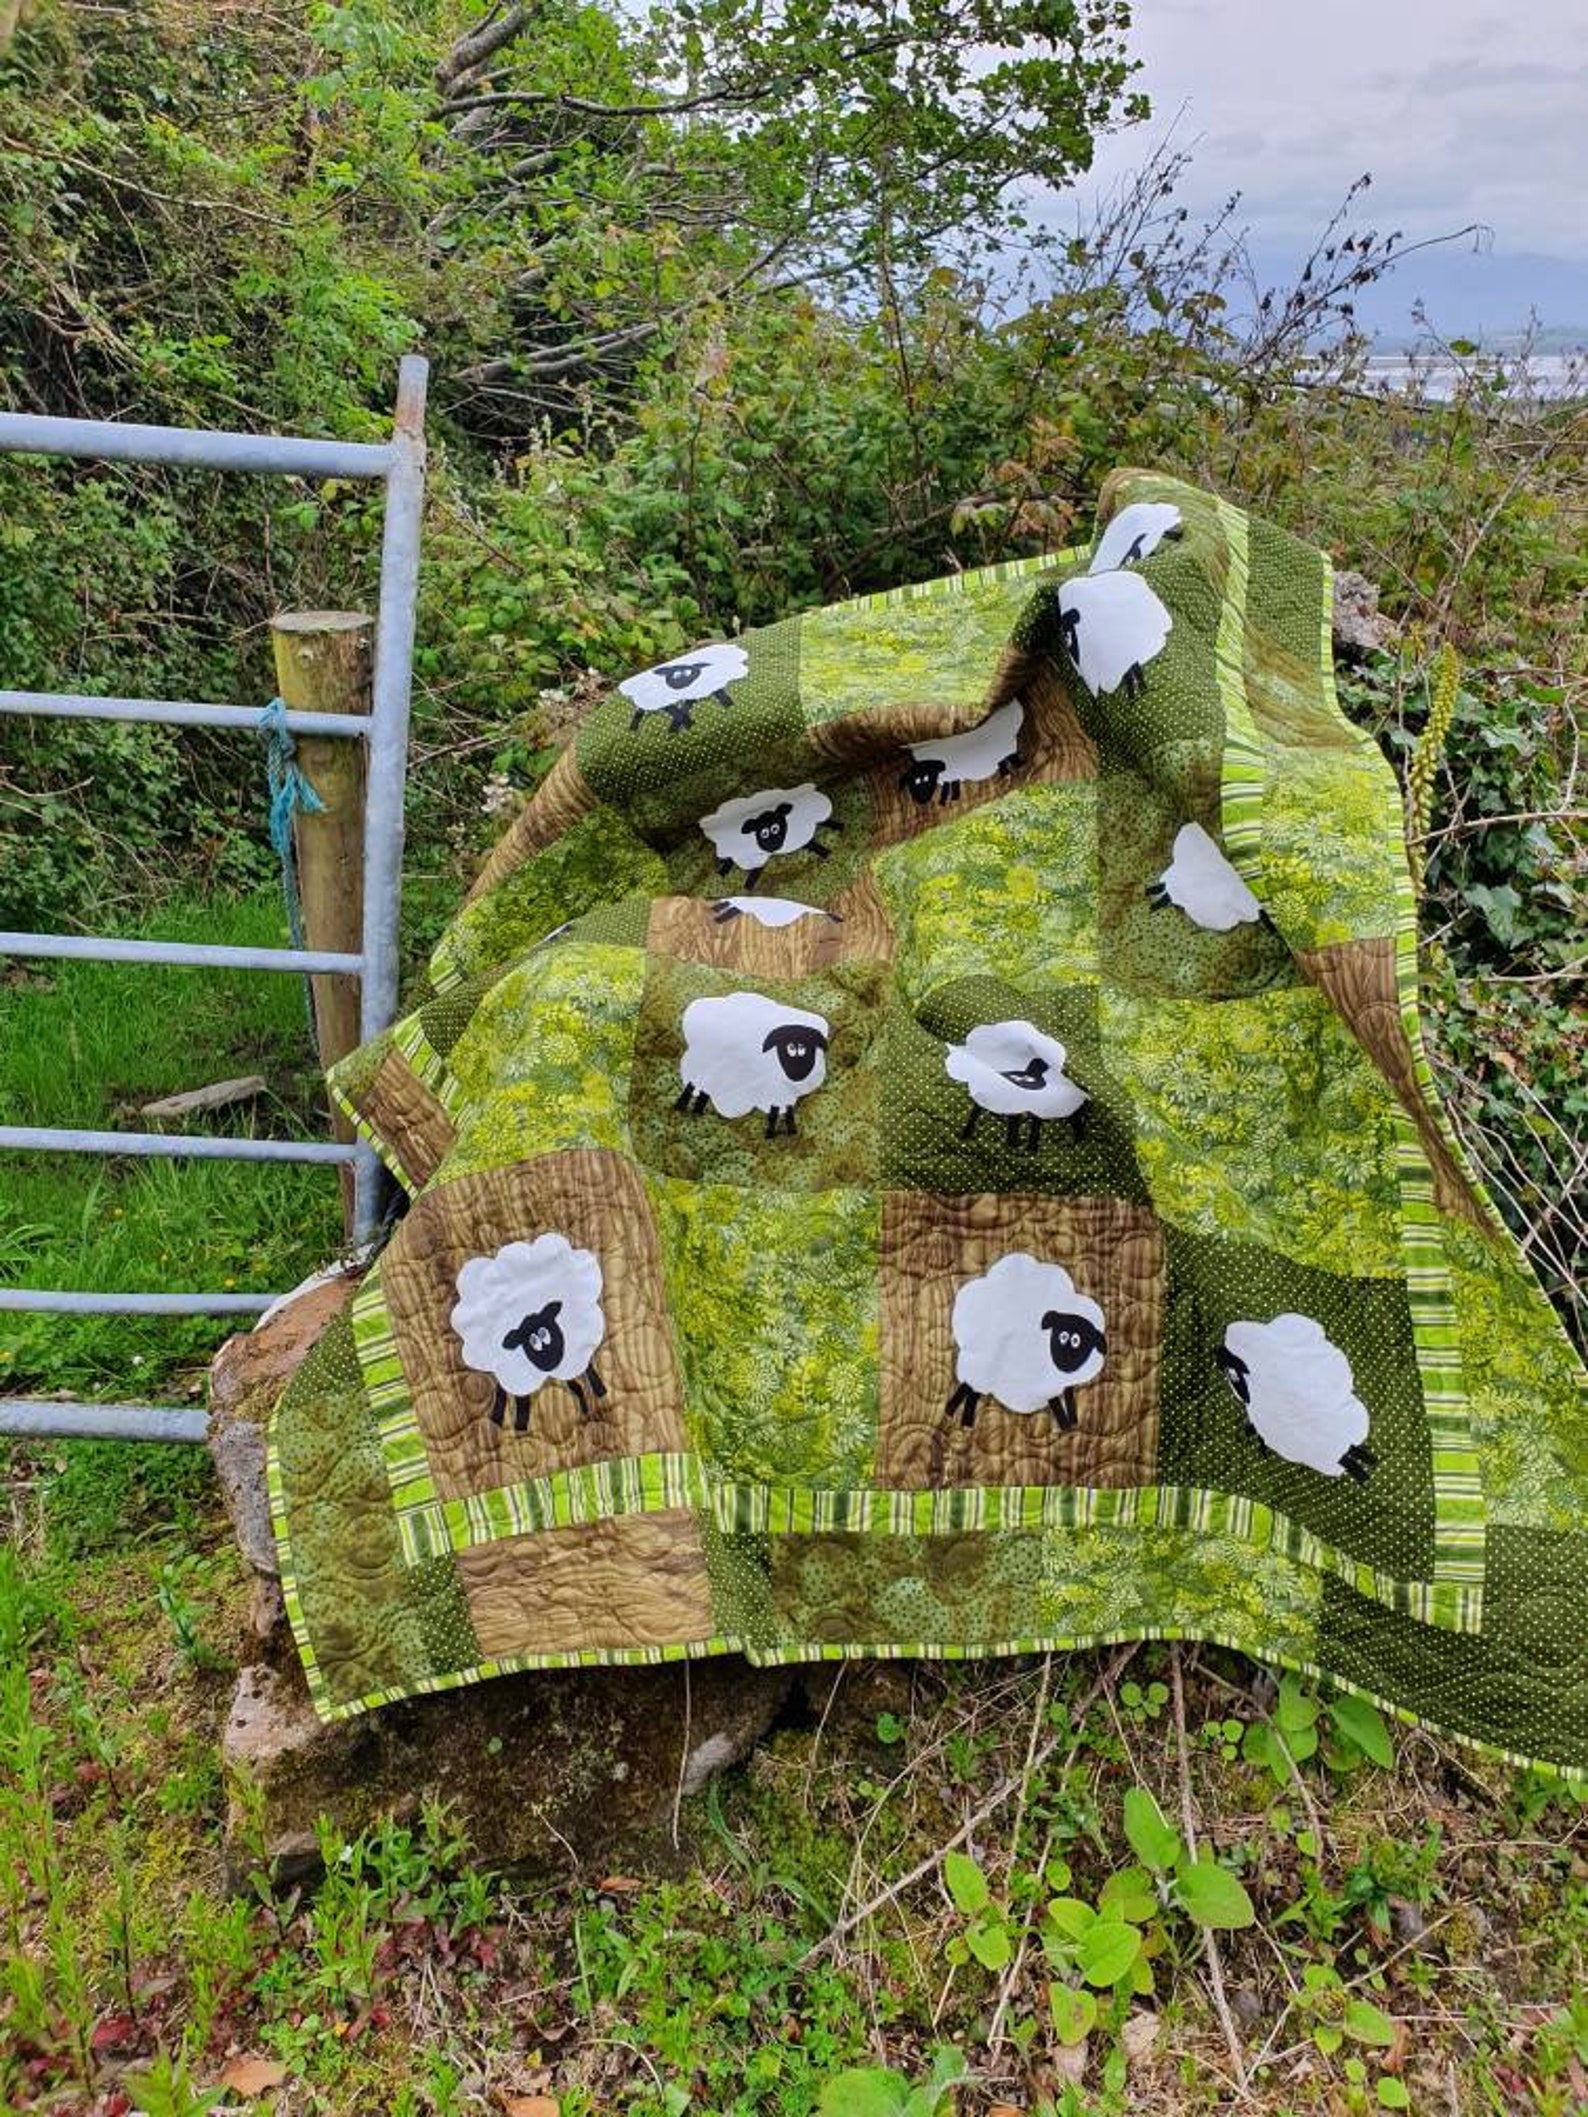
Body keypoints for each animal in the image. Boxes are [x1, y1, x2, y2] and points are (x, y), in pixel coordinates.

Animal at [946, 1252, 1107, 1432]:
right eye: (1063, 1336)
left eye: (1077, 1342)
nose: (1066, 1364)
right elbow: (1057, 1405)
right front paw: (1065, 1424)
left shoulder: (1058, 1385)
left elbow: (1066, 1401)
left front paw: (1070, 1422)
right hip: (977, 1371)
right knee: (967, 1390)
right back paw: (957, 1414)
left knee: (972, 1393)